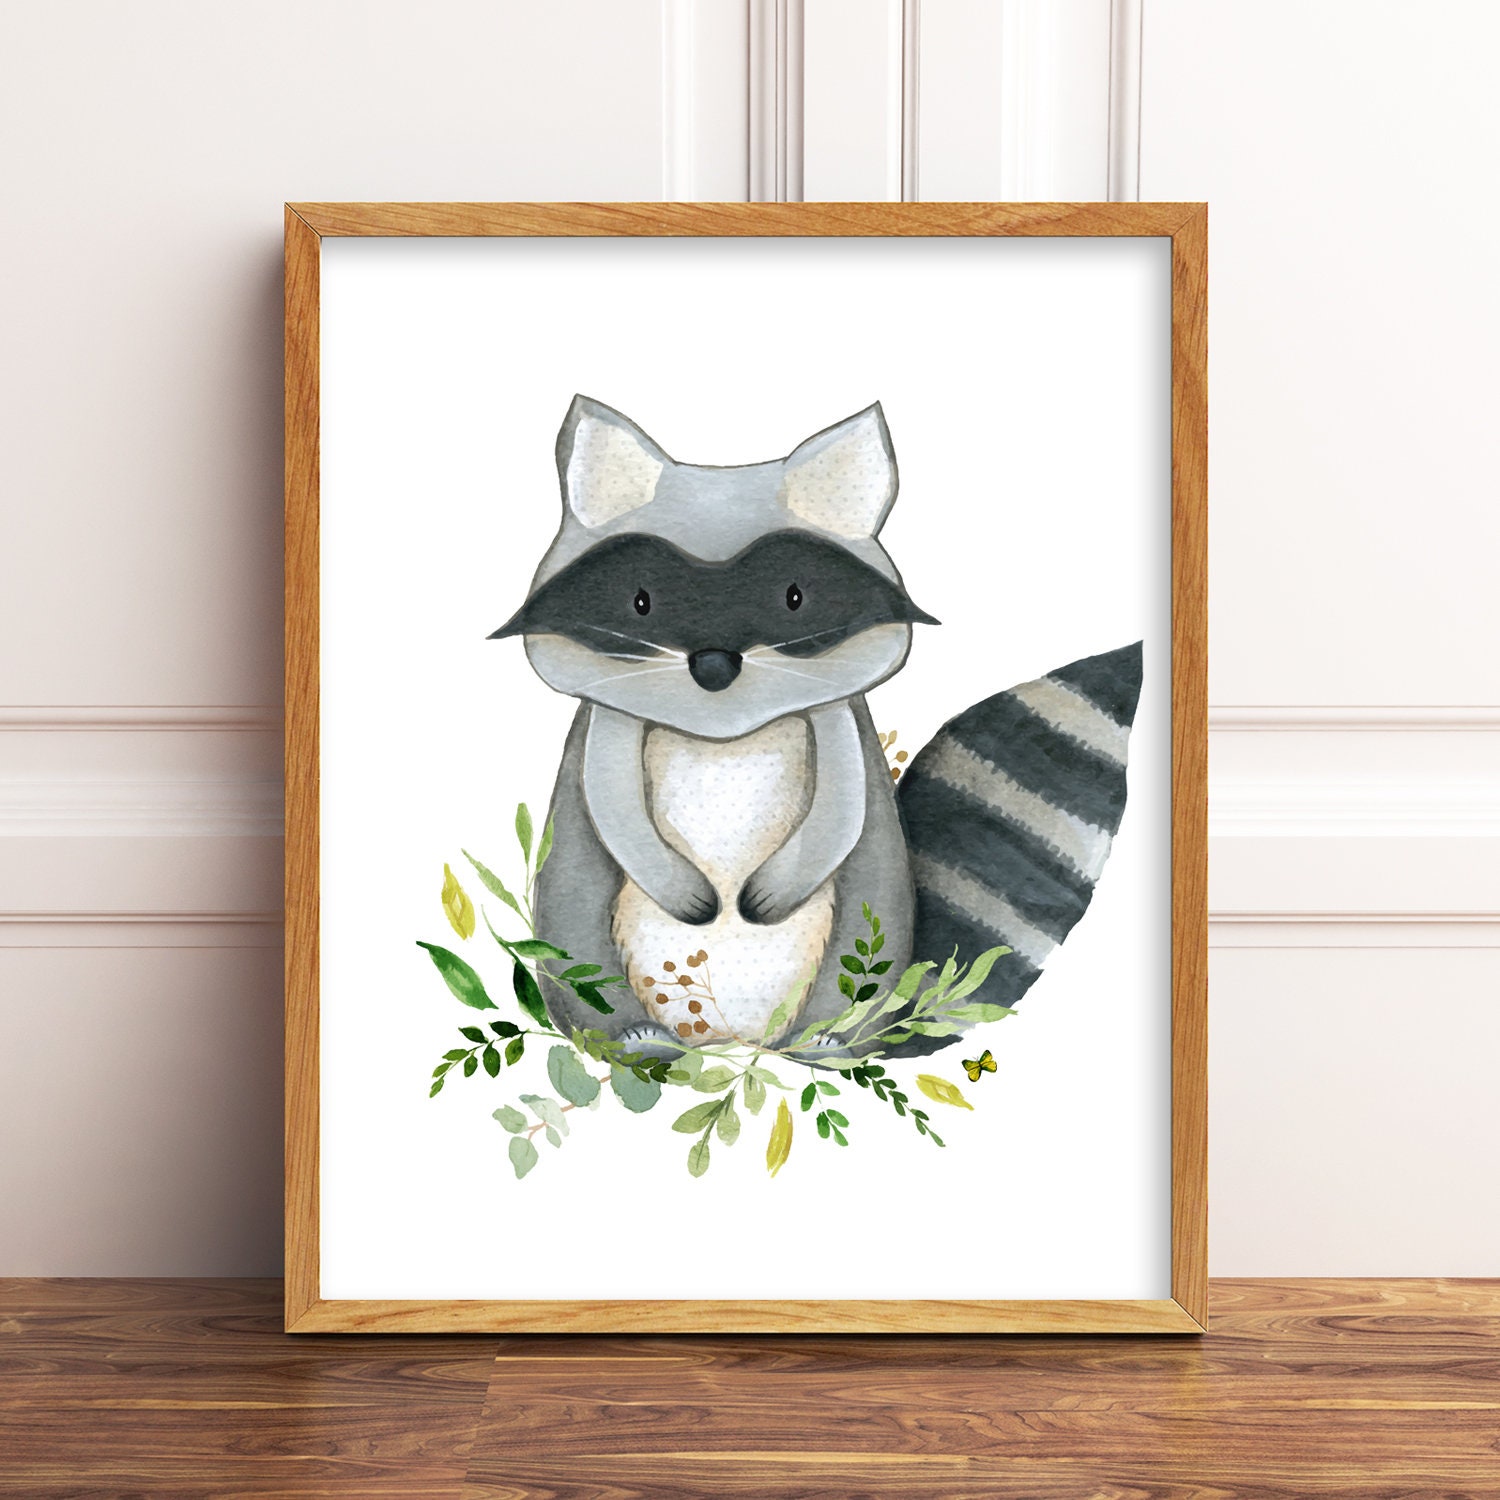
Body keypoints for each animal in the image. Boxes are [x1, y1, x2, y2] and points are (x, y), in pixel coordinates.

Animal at [493, 395, 1145, 1058]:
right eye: (640, 601)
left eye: (795, 597)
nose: (714, 665)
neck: (725, 733)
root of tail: (732, 1039)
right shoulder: (607, 726)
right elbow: (610, 806)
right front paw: (681, 888)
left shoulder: (839, 723)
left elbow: (844, 810)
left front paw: (770, 891)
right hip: (580, 926)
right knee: (584, 957)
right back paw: (636, 1039)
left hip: (868, 922)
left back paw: (825, 1044)